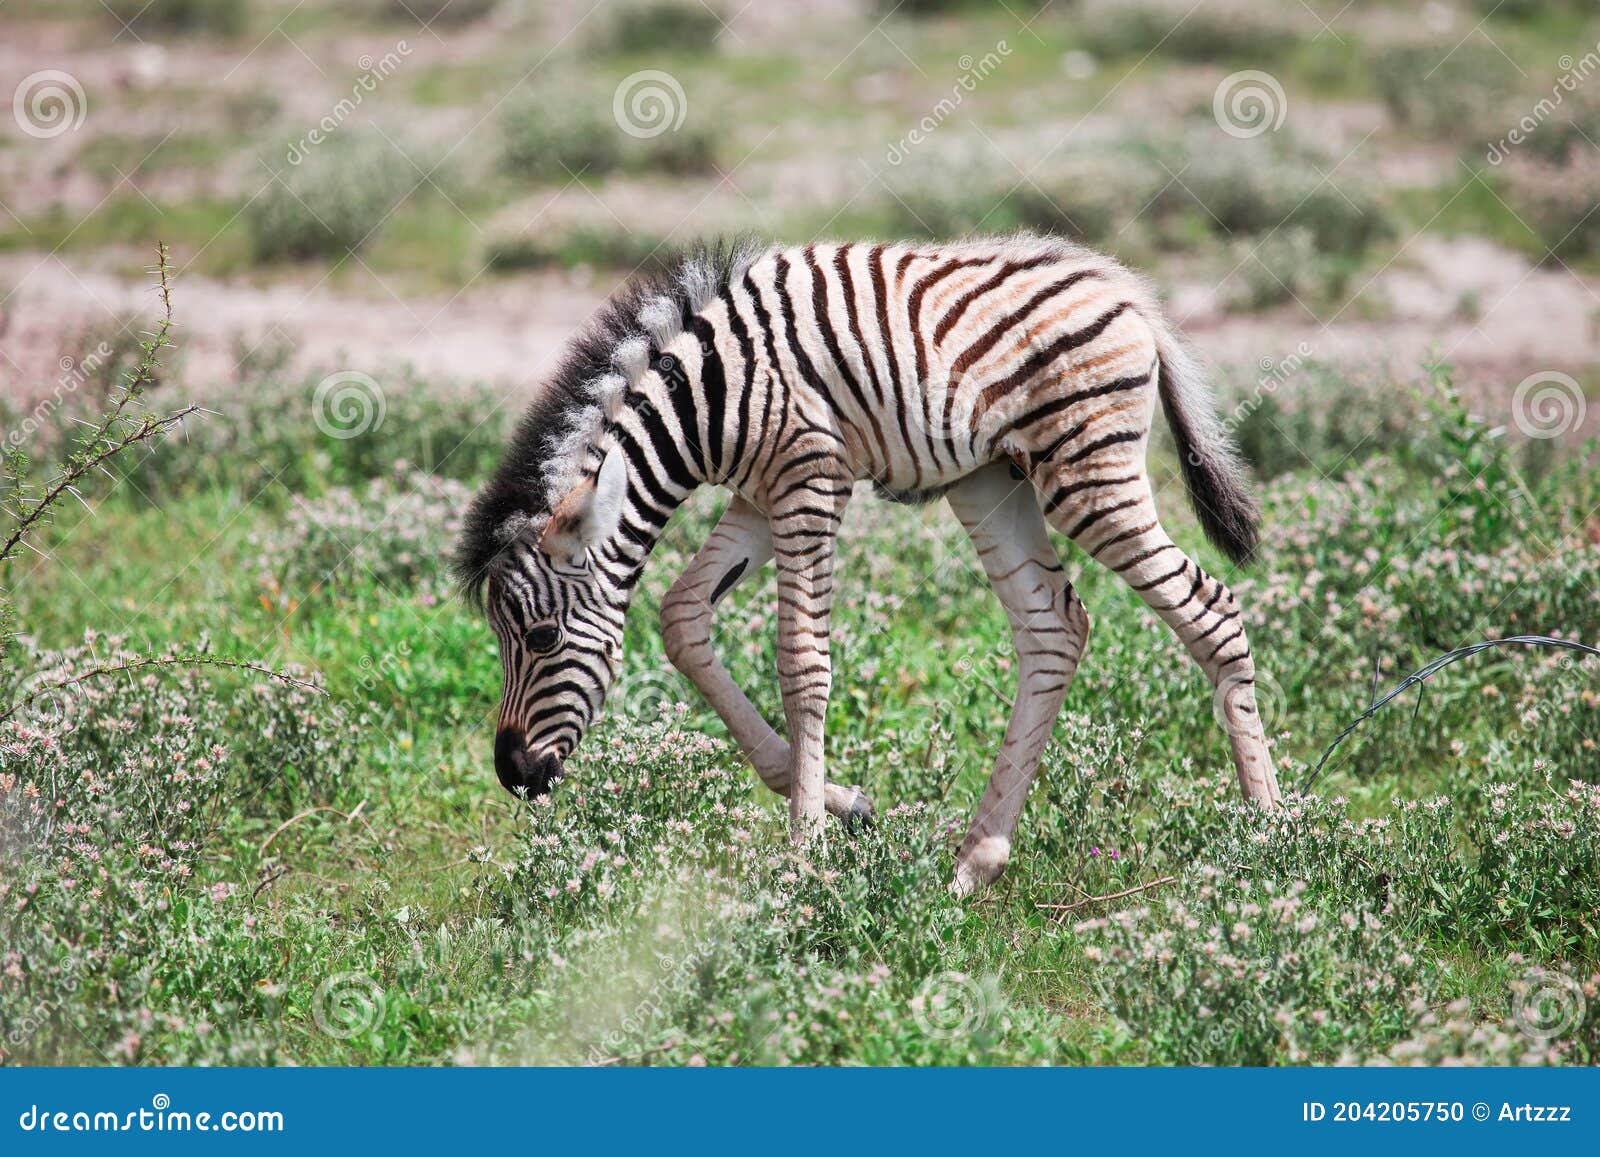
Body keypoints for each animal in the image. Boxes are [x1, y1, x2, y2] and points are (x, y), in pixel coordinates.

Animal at [455, 233, 1282, 895]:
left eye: (541, 639)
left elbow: (801, 660)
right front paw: (842, 804)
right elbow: (682, 616)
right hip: (991, 481)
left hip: (1089, 476)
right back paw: (976, 861)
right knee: (1054, 628)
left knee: (1212, 610)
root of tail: (1126, 292)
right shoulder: (760, 495)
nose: (511, 773)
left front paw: (804, 853)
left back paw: (1271, 833)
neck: (713, 396)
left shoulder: (809, 478)